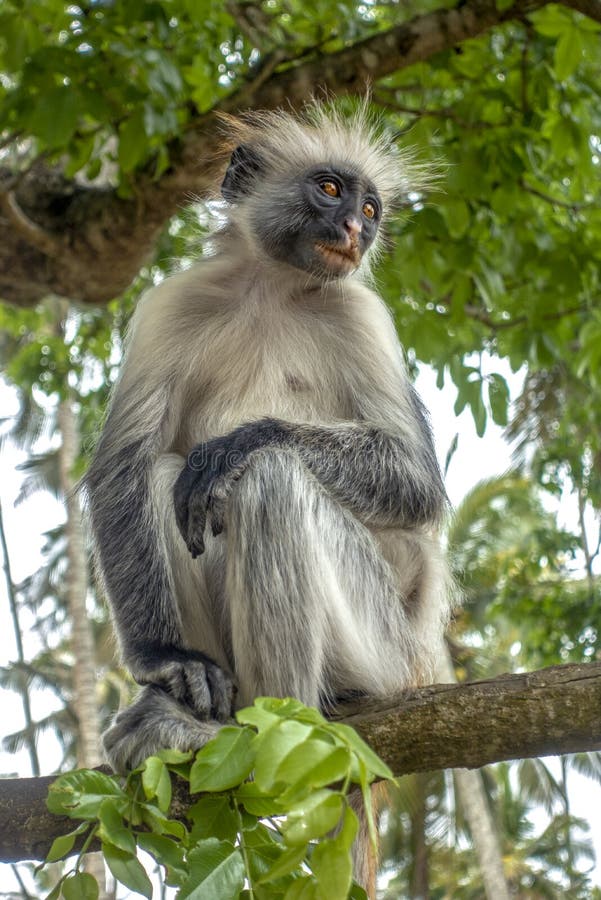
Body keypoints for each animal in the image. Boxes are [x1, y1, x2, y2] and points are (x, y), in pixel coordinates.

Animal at [84, 103, 452, 783]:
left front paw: (236, 445)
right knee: (165, 478)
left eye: (370, 209)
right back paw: (191, 712)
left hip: (382, 653)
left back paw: (274, 732)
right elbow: (123, 466)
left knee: (270, 478)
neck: (273, 284)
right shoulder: (176, 300)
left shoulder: (360, 313)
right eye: (330, 189)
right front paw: (164, 659)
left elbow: (416, 483)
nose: (354, 230)